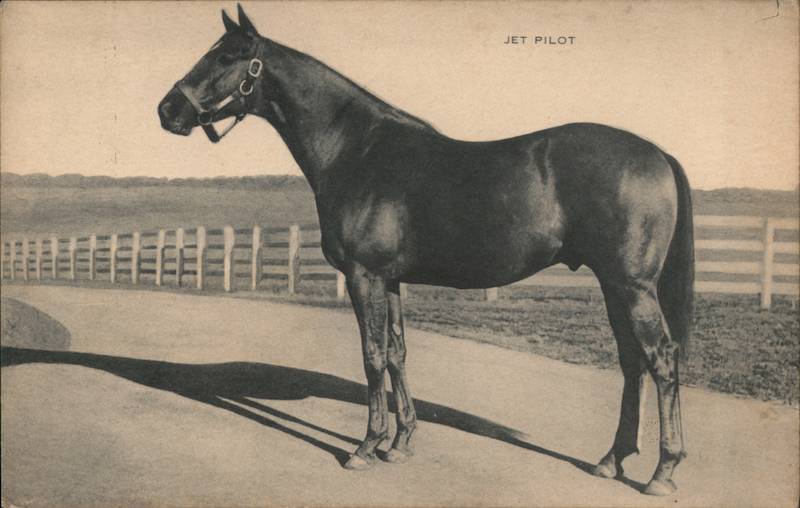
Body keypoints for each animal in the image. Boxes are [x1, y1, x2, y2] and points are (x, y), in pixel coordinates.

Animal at [158, 5, 694, 496]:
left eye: (228, 56)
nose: (167, 110)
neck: (357, 150)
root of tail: (656, 153)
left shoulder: (365, 276)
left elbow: (373, 355)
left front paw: (365, 447)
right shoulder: (391, 278)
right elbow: (398, 352)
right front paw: (401, 443)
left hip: (632, 285)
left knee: (661, 358)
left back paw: (662, 473)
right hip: (613, 283)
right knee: (631, 361)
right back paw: (611, 460)